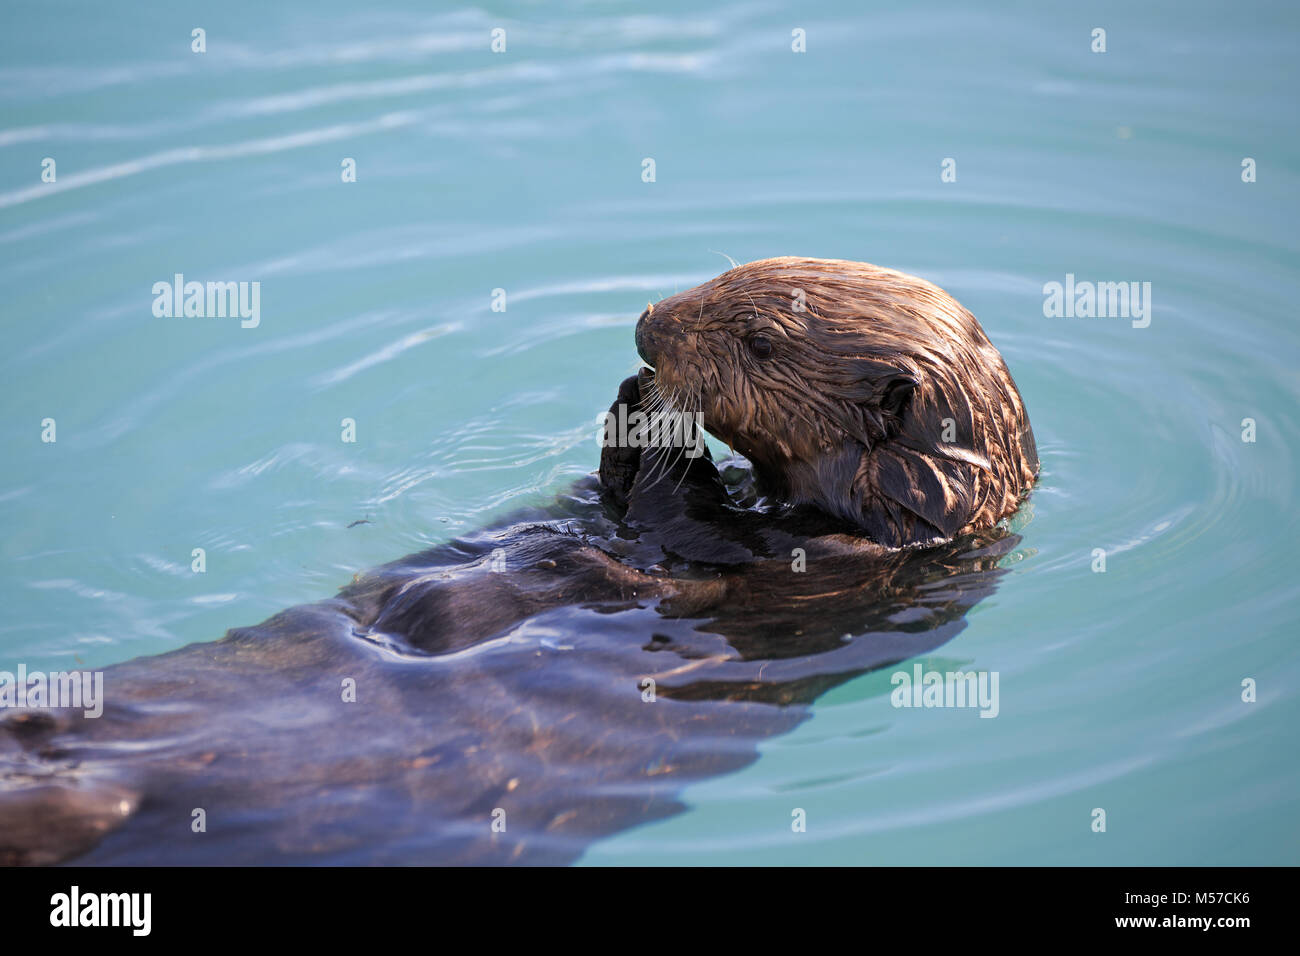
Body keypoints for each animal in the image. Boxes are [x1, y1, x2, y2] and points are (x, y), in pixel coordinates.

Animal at [0, 257, 1037, 865]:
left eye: (760, 339)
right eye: (728, 270)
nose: (647, 325)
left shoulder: (839, 567)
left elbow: (696, 542)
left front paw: (656, 424)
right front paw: (632, 406)